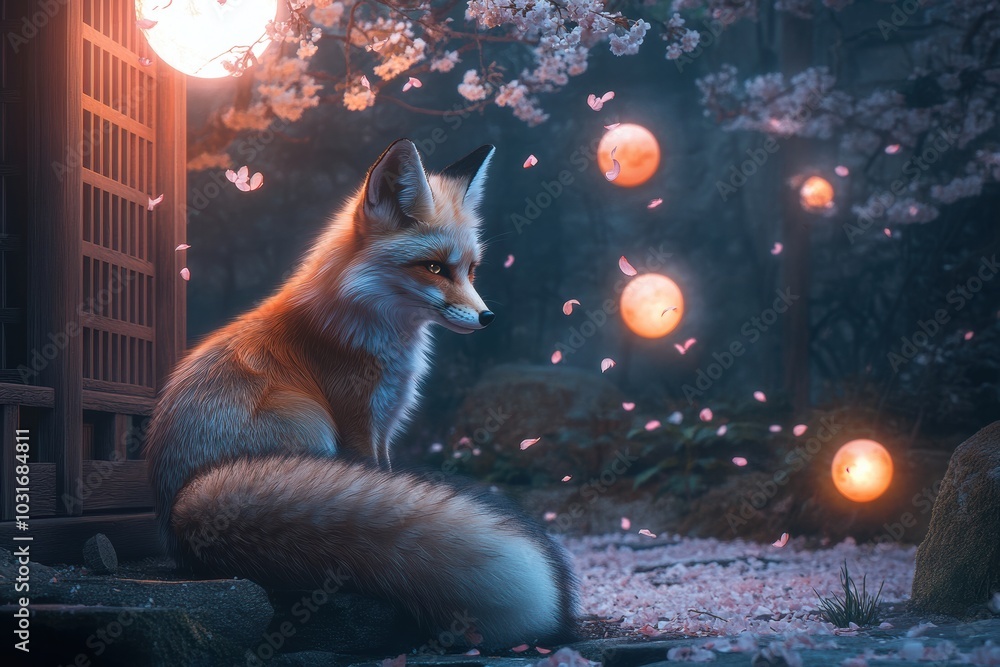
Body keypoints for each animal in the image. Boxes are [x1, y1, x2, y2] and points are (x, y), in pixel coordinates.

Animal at [144, 140, 576, 647]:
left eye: (471, 270)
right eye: (434, 267)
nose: (487, 317)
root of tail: (178, 518)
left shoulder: (384, 425)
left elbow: (388, 481)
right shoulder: (357, 421)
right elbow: (376, 478)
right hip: (309, 423)